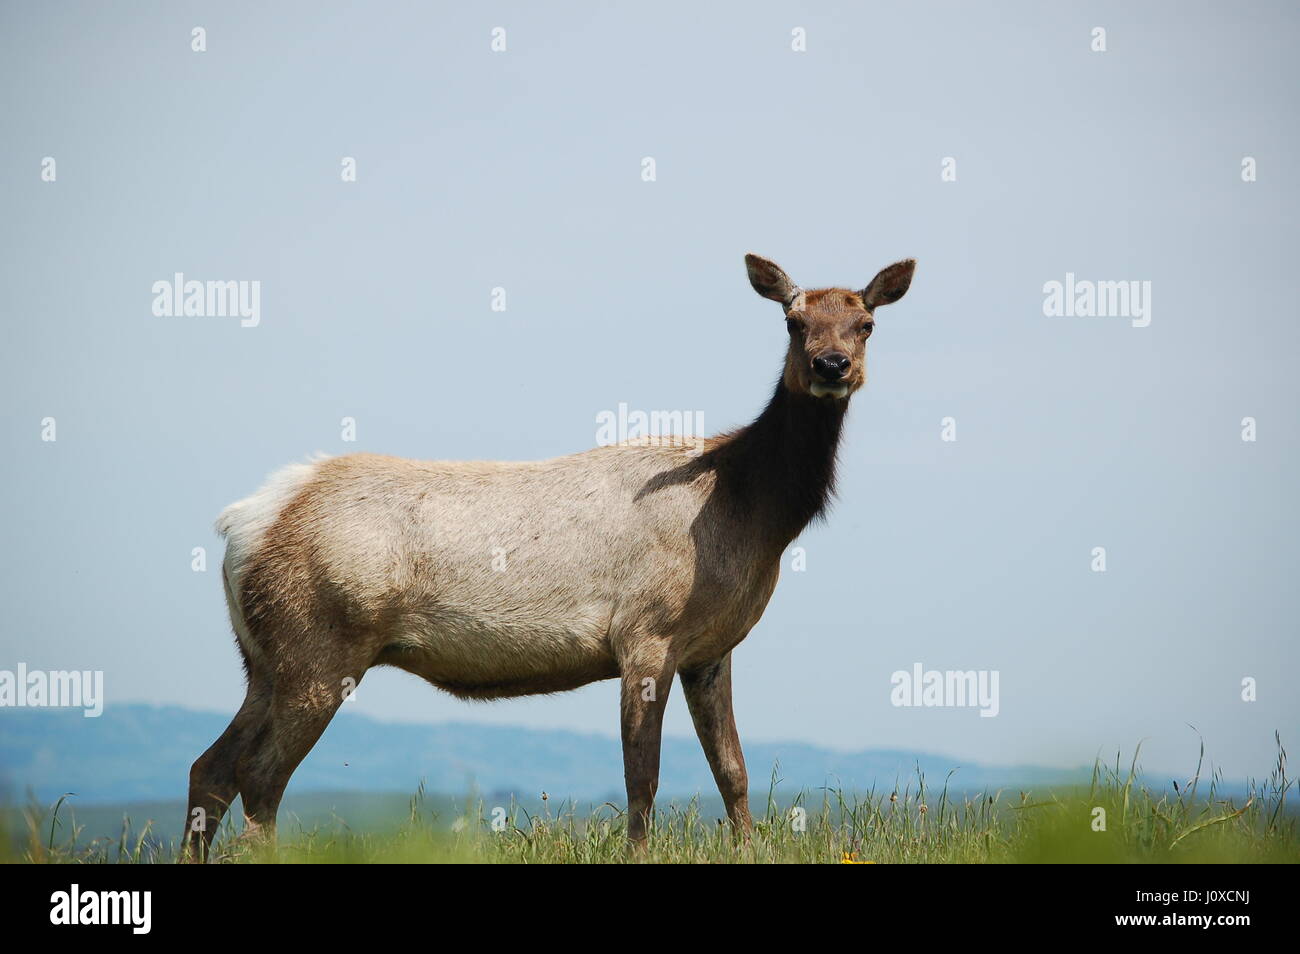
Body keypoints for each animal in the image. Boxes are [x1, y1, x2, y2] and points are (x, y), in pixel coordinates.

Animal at [182, 254, 915, 860]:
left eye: (866, 324)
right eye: (793, 321)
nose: (830, 366)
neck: (753, 510)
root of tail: (243, 526)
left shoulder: (711, 647)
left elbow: (732, 772)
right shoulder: (646, 632)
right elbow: (643, 777)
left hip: (263, 659)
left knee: (210, 769)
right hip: (319, 645)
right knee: (260, 777)